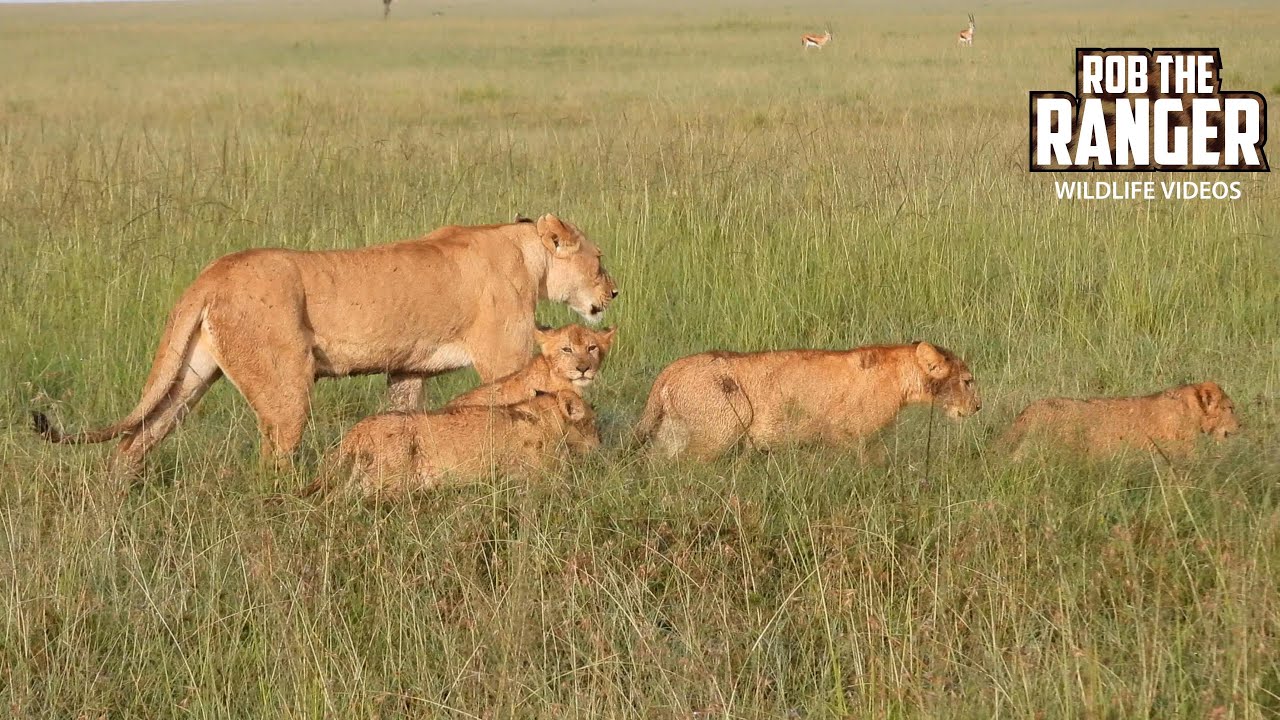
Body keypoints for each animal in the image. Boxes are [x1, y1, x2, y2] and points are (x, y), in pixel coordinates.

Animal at [633, 341, 981, 461]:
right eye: (967, 381)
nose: (978, 407)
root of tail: (668, 371)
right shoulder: (844, 435)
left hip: (671, 435)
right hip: (722, 428)